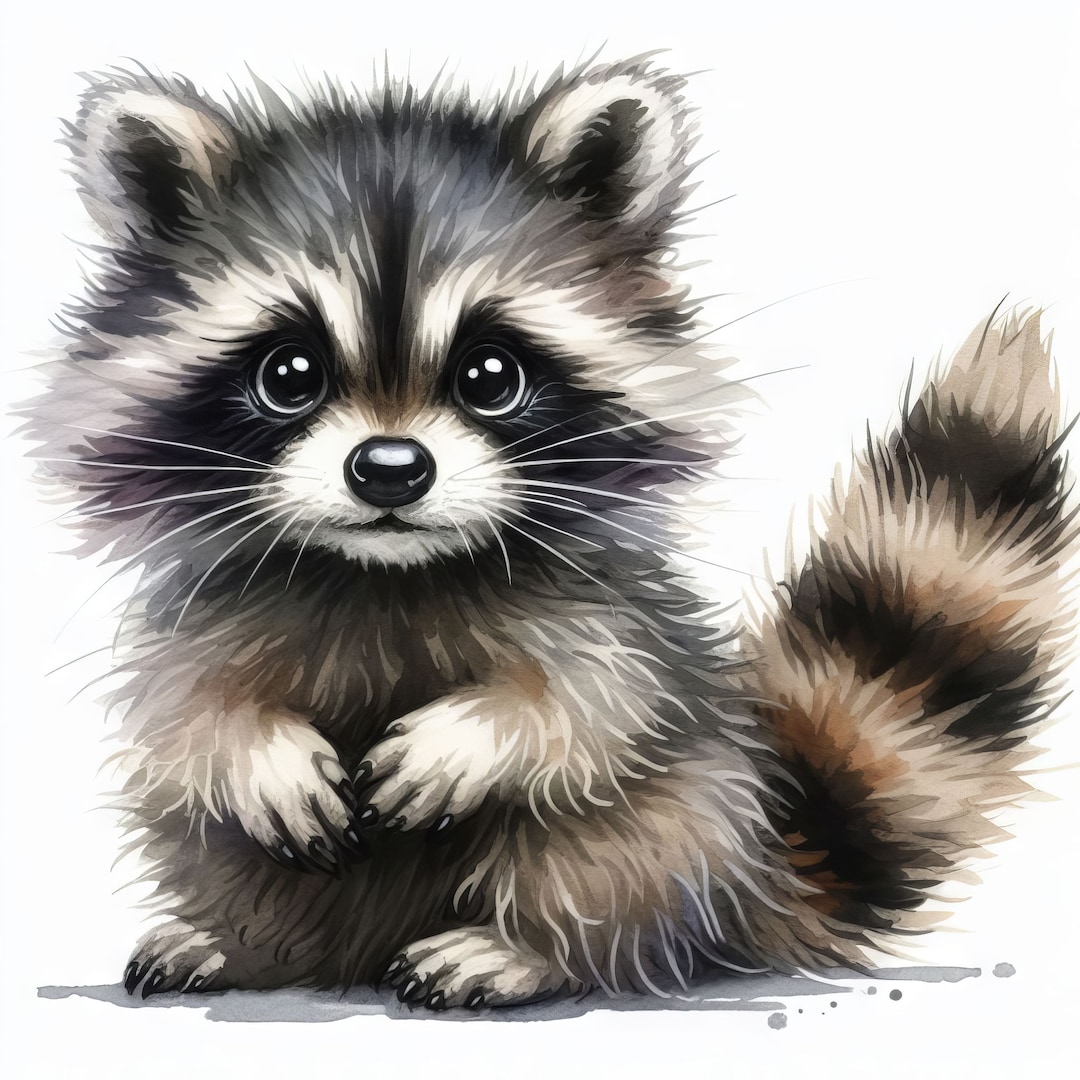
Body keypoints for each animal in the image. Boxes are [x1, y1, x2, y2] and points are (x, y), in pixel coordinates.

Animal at [25, 59, 1075, 1008]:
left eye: (491, 374)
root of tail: (756, 880)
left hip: (700, 816)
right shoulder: (208, 605)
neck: (387, 569)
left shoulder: (613, 617)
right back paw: (235, 943)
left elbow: (591, 708)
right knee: (206, 839)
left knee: (622, 845)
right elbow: (186, 712)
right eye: (290, 373)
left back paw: (528, 949)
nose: (390, 470)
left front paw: (479, 737)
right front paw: (253, 750)